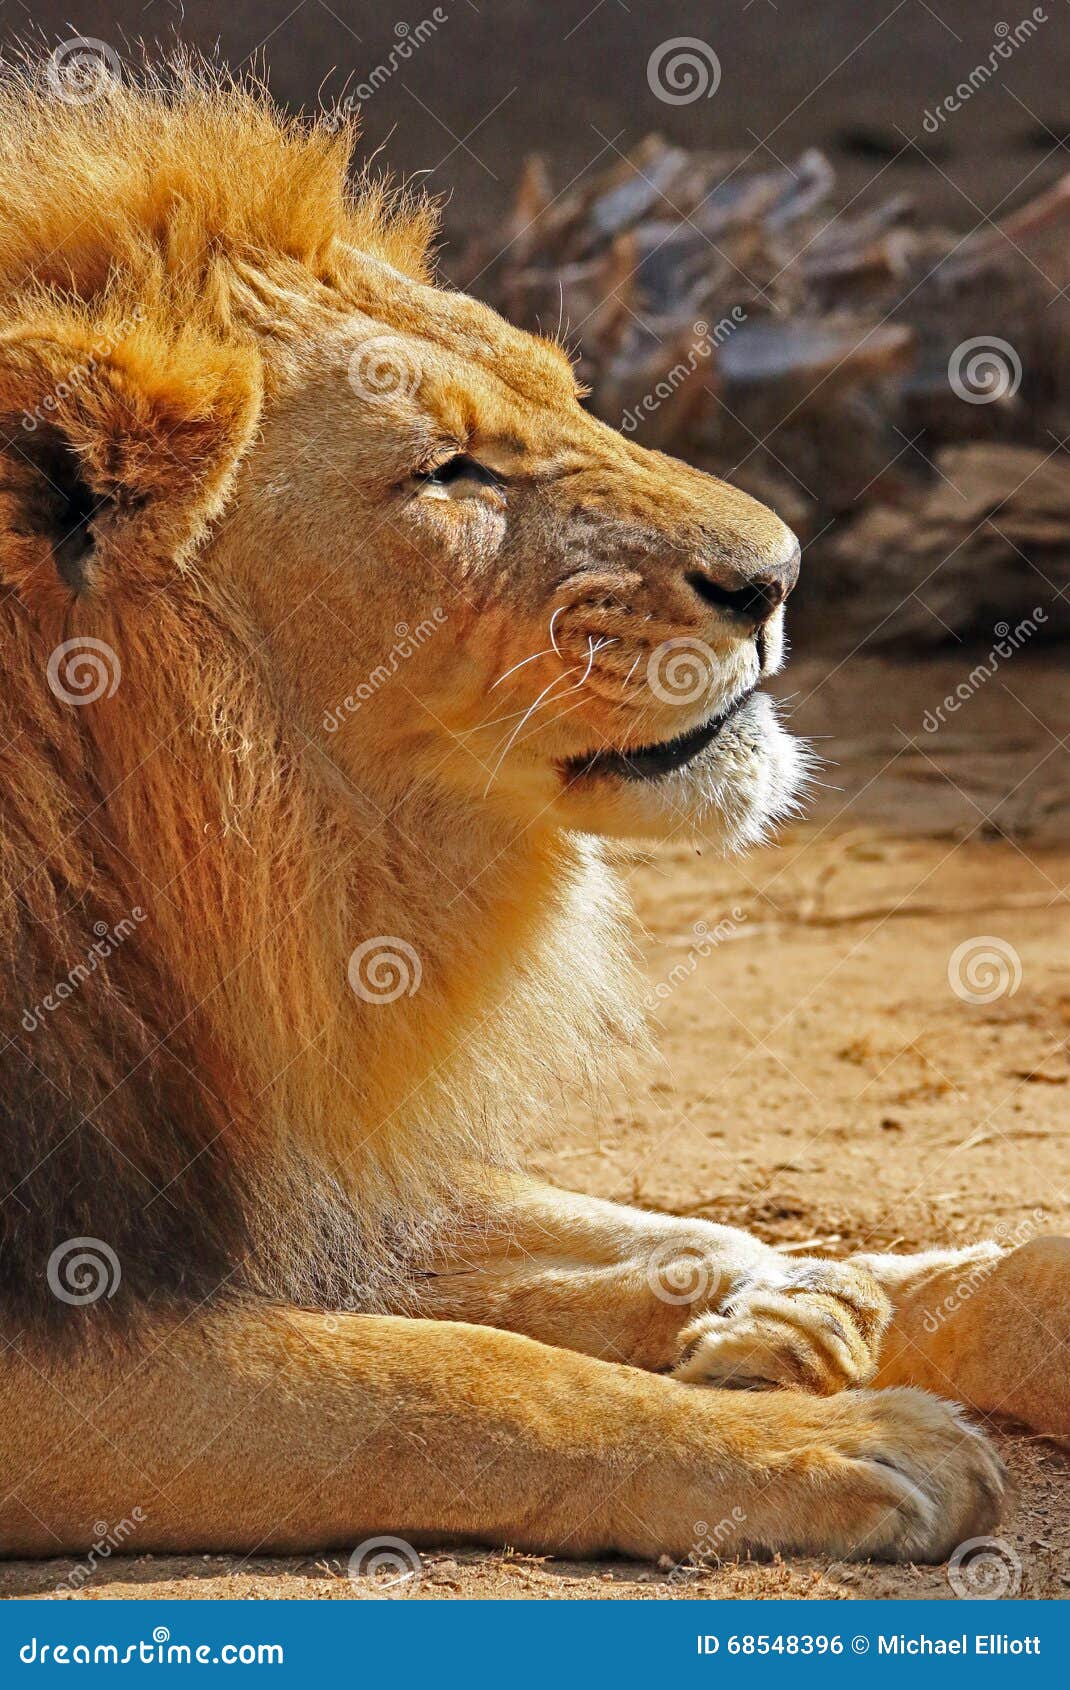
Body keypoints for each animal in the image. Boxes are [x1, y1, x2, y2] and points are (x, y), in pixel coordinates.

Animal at [0, 59, 1066, 1569]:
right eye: (450, 470)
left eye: (566, 392)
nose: (777, 577)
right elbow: (434, 1381)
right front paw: (836, 1440)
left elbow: (638, 1245)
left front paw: (797, 1309)